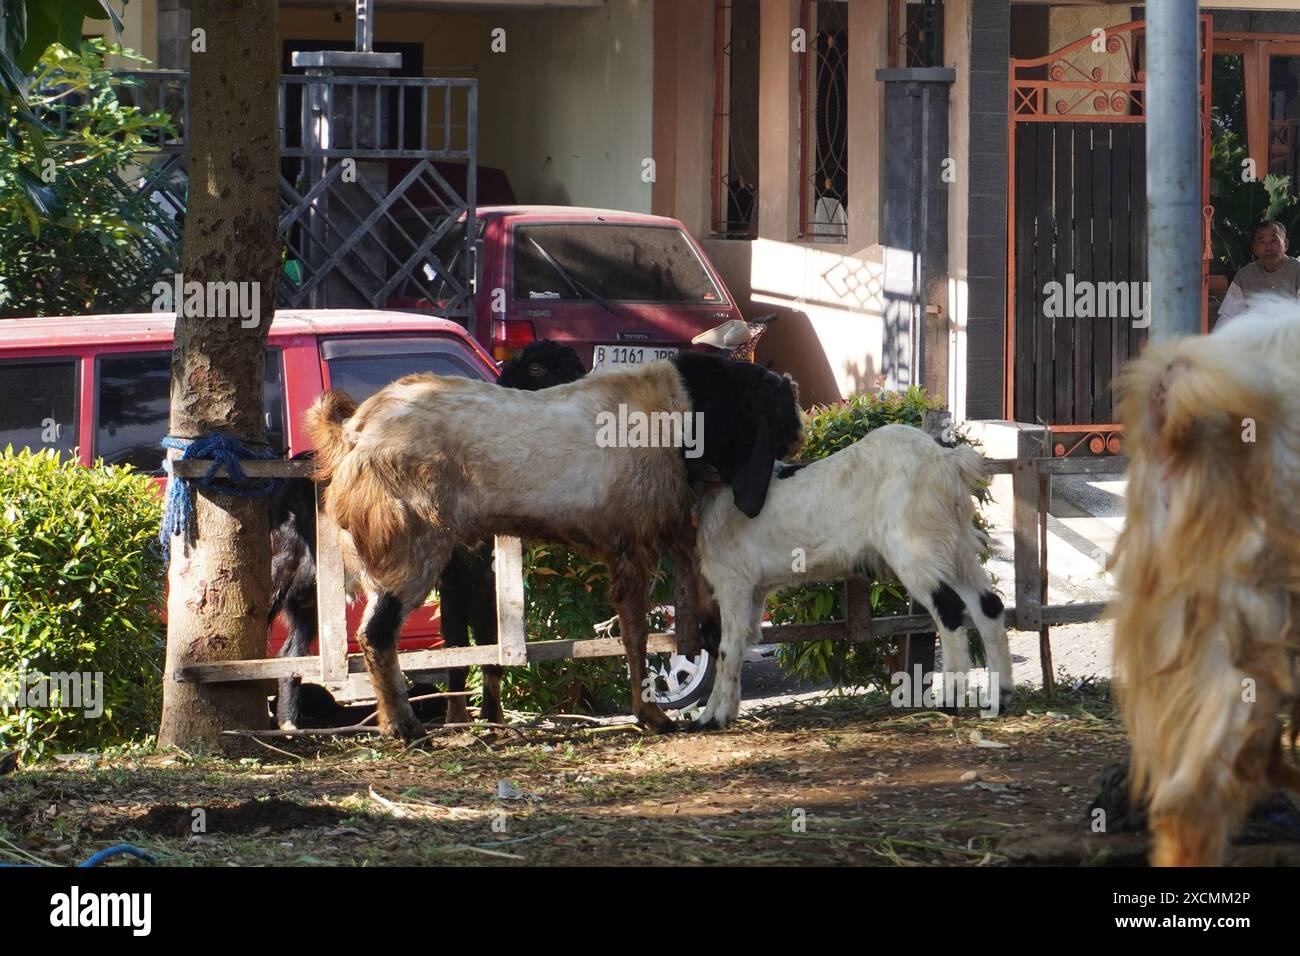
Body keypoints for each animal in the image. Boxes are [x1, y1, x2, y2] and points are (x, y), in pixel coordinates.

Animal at [268, 340, 586, 730]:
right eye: (537, 369)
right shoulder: (455, 576)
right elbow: (456, 646)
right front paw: (458, 717)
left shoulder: (485, 575)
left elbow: (489, 644)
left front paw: (491, 717)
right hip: (300, 570)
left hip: (309, 591)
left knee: (291, 652)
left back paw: (290, 723)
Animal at [305, 352, 804, 739]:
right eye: (780, 413)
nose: (798, 441)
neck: (685, 408)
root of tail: (353, 431)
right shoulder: (633, 542)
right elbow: (637, 632)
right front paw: (651, 715)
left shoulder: (671, 531)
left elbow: (705, 618)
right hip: (412, 544)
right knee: (376, 632)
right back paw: (403, 727)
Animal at [692, 423, 1011, 730]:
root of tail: (946, 460)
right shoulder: (755, 590)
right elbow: (740, 641)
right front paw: (718, 712)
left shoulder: (733, 581)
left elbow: (728, 647)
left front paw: (713, 718)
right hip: (955, 545)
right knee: (988, 606)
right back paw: (999, 697)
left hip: (914, 546)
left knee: (950, 609)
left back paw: (950, 702)